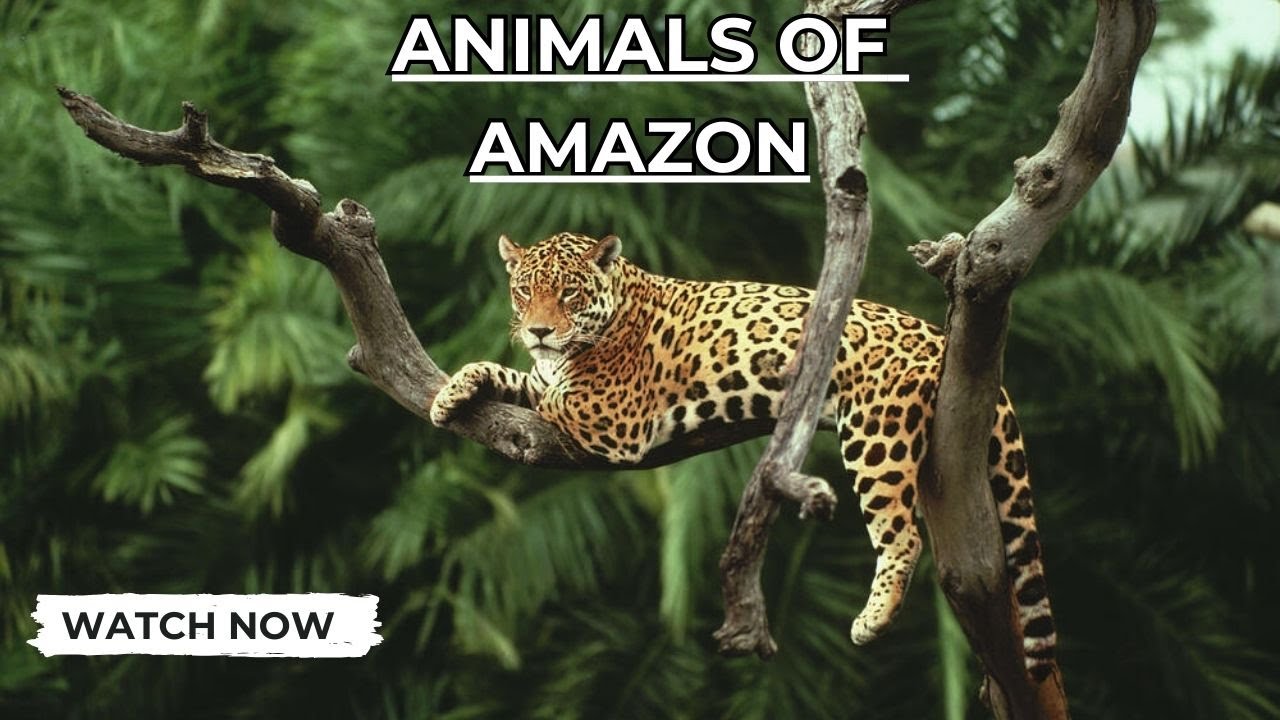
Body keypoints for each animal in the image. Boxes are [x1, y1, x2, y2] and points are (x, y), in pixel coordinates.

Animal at [430, 231, 1058, 681]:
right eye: (523, 292)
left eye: (570, 294)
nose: (538, 330)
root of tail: (939, 337)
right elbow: (513, 375)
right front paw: (451, 393)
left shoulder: (613, 416)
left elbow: (551, 392)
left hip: (875, 433)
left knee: (901, 535)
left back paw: (872, 620)